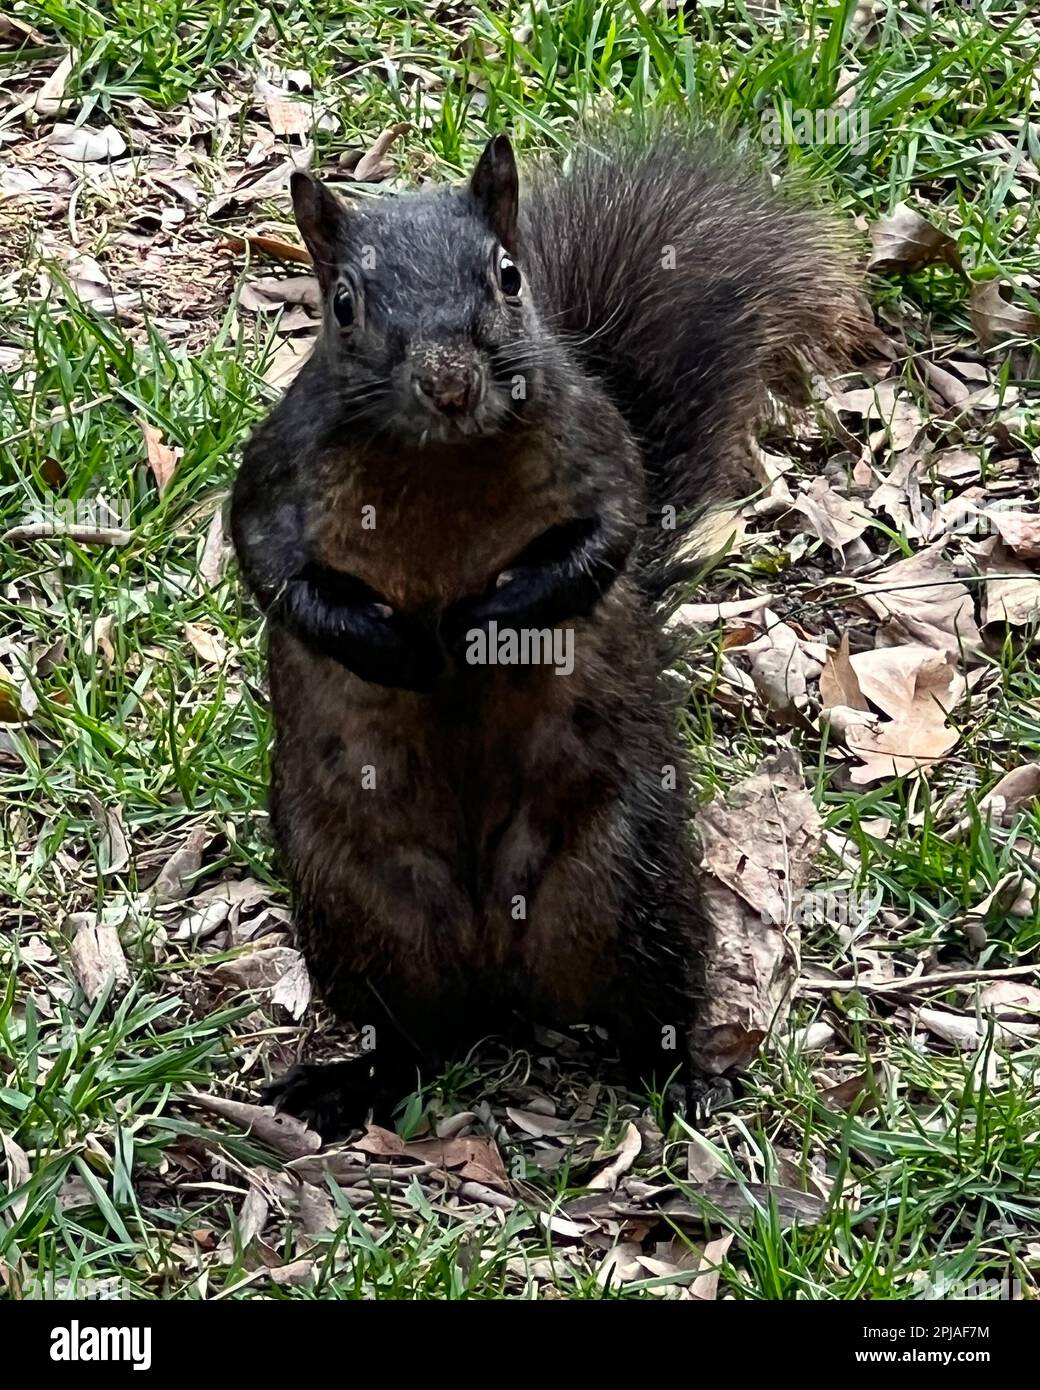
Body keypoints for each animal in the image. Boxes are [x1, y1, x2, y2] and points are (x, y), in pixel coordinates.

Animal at [230, 119, 870, 1134]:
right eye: (343, 303)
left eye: (507, 275)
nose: (449, 382)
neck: (440, 462)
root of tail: (498, 974)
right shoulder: (277, 470)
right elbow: (272, 570)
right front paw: (403, 647)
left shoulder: (596, 444)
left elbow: (607, 539)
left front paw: (481, 626)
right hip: (354, 906)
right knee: (412, 1039)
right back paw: (350, 1083)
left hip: (629, 878)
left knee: (647, 1006)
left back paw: (682, 1074)